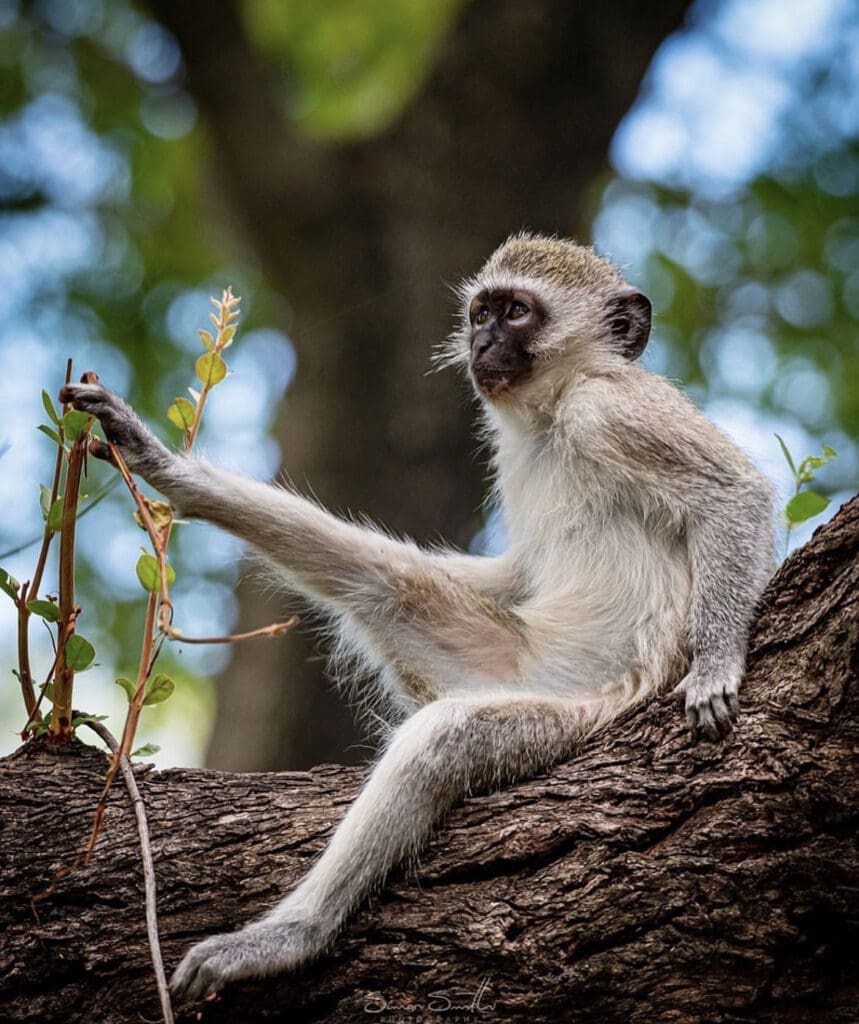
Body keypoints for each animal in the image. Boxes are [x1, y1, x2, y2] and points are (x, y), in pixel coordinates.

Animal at [60, 232, 775, 1001]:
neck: (553, 413)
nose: (481, 341)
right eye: (482, 312)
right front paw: (150, 453)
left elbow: (733, 494)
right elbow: (511, 575)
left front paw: (716, 662)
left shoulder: (613, 412)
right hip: (496, 662)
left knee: (444, 736)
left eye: (517, 312)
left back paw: (291, 935)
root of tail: (540, 677)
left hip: (576, 715)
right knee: (379, 582)